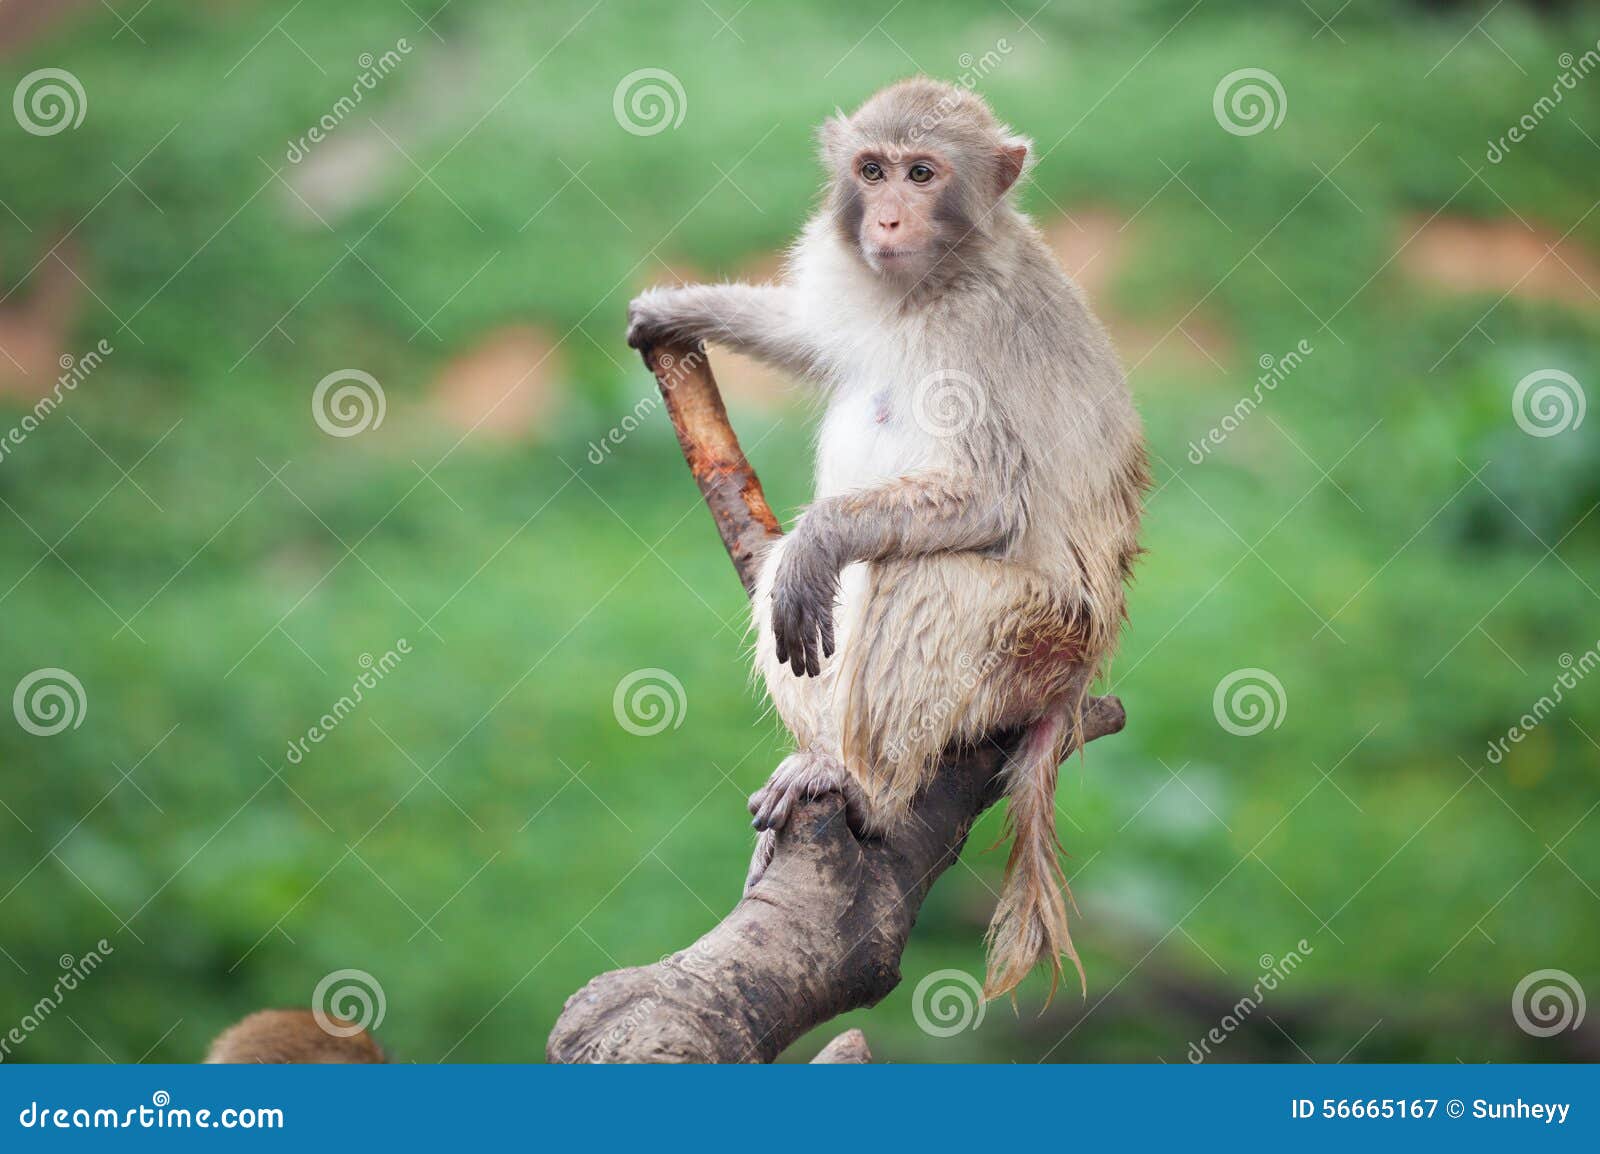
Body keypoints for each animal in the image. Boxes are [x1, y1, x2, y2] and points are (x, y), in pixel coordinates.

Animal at [626, 77, 1147, 1000]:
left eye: (922, 172)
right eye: (872, 171)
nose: (889, 219)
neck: (926, 287)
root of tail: (1080, 676)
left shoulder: (976, 335)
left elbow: (993, 498)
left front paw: (818, 542)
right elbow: (808, 336)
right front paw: (678, 309)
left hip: (1041, 645)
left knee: (923, 577)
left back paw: (864, 788)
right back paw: (823, 761)